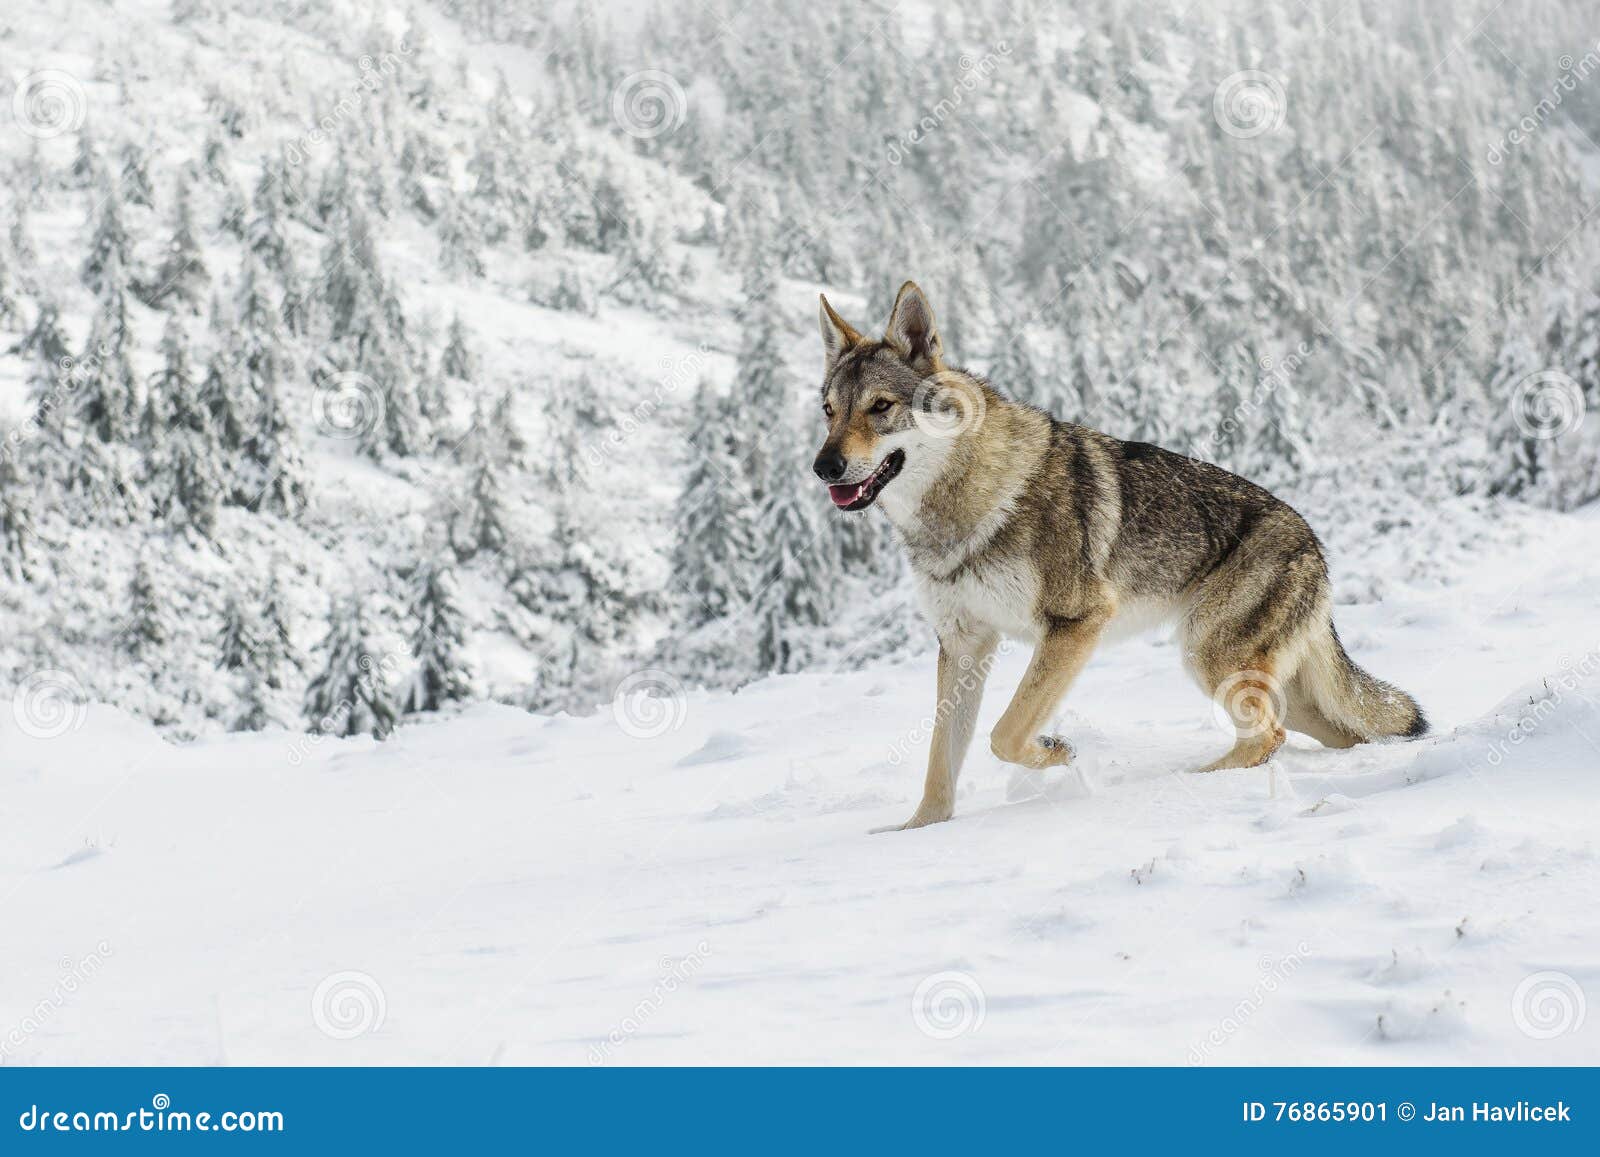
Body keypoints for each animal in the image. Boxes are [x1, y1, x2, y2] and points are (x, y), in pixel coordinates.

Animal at [812, 281, 1427, 830]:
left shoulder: (1075, 624)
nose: (823, 467)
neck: (963, 504)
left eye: (881, 407)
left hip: (1210, 659)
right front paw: (919, 831)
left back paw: (1190, 781)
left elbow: (1006, 734)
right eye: (828, 411)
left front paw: (1059, 751)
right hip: (1269, 684)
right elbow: (941, 762)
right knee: (1332, 732)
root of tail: (1313, 541)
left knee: (1267, 737)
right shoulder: (963, 647)